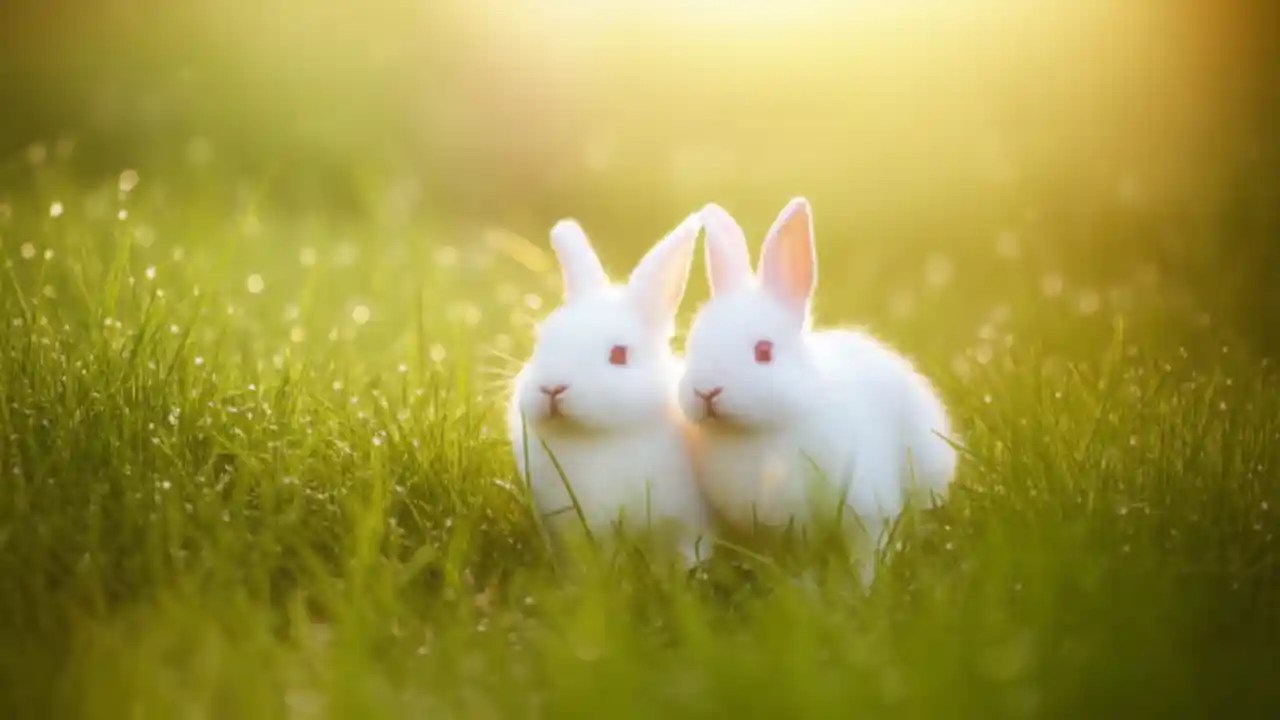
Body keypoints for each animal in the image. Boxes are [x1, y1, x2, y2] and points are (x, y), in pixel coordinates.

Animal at [677, 198, 956, 584]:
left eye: (764, 351)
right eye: (693, 344)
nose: (706, 392)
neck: (759, 432)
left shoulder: (867, 508)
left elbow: (870, 551)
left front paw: (866, 587)